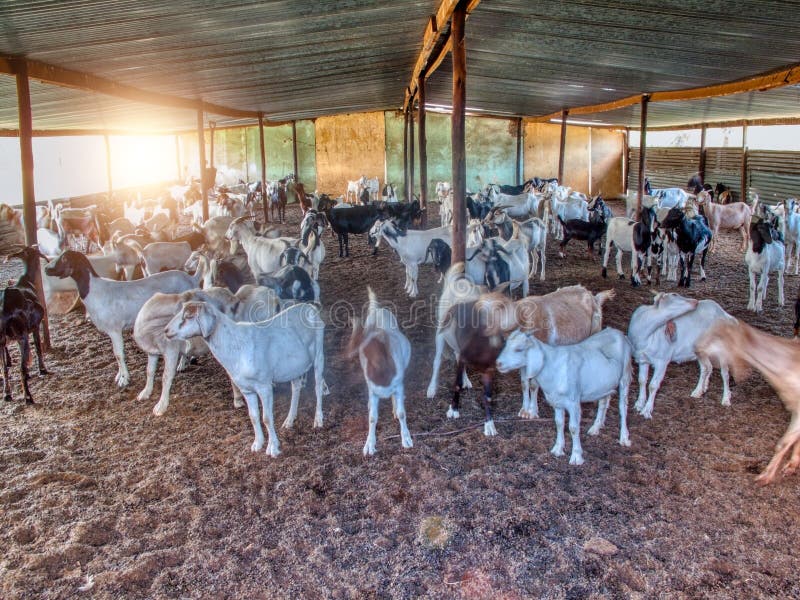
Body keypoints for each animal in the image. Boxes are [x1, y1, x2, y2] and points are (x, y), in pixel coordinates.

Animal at [45, 250, 196, 387]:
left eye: (64, 258)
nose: (46, 269)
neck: (94, 291)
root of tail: (191, 279)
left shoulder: (114, 329)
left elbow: (118, 354)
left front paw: (124, 379)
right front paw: (119, 376)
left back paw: (182, 364)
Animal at [164, 301, 326, 457]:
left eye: (188, 316)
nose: (166, 331)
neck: (237, 347)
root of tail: (309, 306)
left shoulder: (264, 385)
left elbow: (267, 418)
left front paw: (273, 448)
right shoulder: (246, 389)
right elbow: (253, 416)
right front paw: (257, 444)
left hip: (319, 354)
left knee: (317, 386)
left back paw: (318, 420)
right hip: (294, 368)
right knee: (296, 387)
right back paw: (289, 420)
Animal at [346, 287, 412, 455]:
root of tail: (377, 309)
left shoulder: (398, 385)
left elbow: (402, 412)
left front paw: (406, 439)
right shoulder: (373, 390)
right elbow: (372, 418)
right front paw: (369, 445)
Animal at [496, 327, 632, 465]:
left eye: (519, 349)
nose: (498, 363)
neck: (553, 367)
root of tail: (617, 332)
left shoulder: (573, 402)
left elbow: (573, 427)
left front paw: (576, 456)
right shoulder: (557, 402)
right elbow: (559, 423)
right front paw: (558, 449)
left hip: (625, 376)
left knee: (623, 407)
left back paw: (624, 438)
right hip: (604, 384)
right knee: (604, 401)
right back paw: (595, 427)